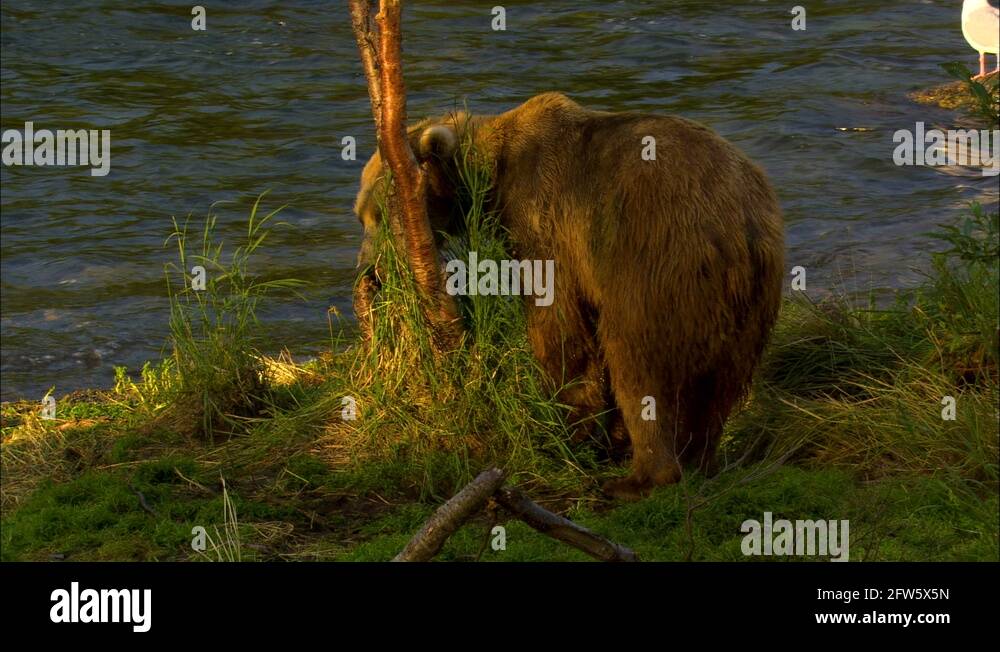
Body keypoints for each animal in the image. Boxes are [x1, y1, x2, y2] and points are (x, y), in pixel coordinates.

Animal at [354, 92, 785, 500]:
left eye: (376, 216)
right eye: (363, 216)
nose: (368, 270)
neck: (490, 175)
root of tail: (739, 229)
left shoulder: (545, 219)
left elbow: (559, 325)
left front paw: (561, 423)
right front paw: (598, 436)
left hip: (656, 268)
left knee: (638, 364)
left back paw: (641, 478)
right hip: (749, 306)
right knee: (720, 386)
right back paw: (698, 459)